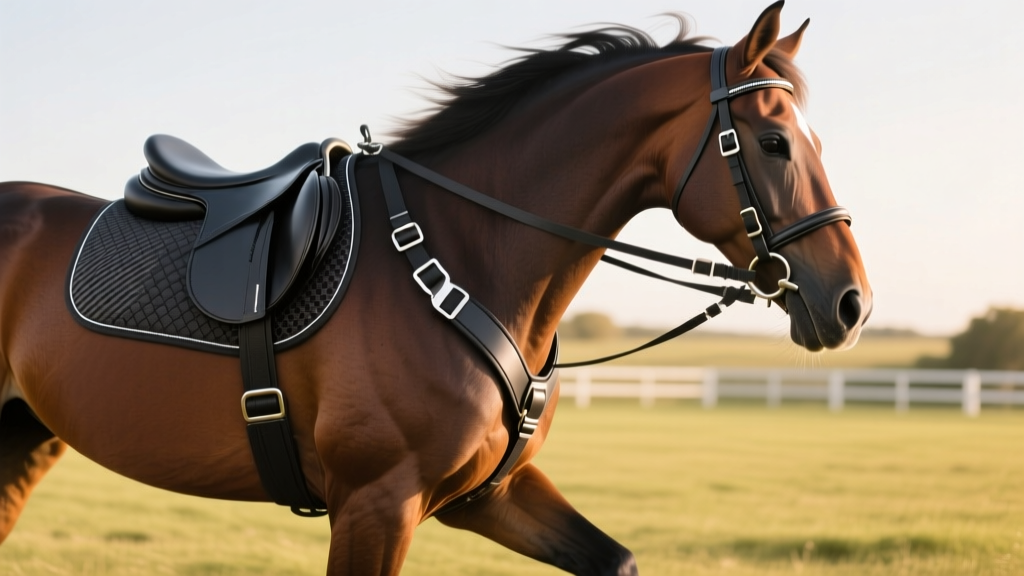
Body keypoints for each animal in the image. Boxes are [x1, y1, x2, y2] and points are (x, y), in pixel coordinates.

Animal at [0, 2, 871, 574]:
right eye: (773, 142)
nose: (851, 303)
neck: (460, 258)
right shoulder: (376, 506)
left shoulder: (488, 494)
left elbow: (615, 560)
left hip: (26, 441)